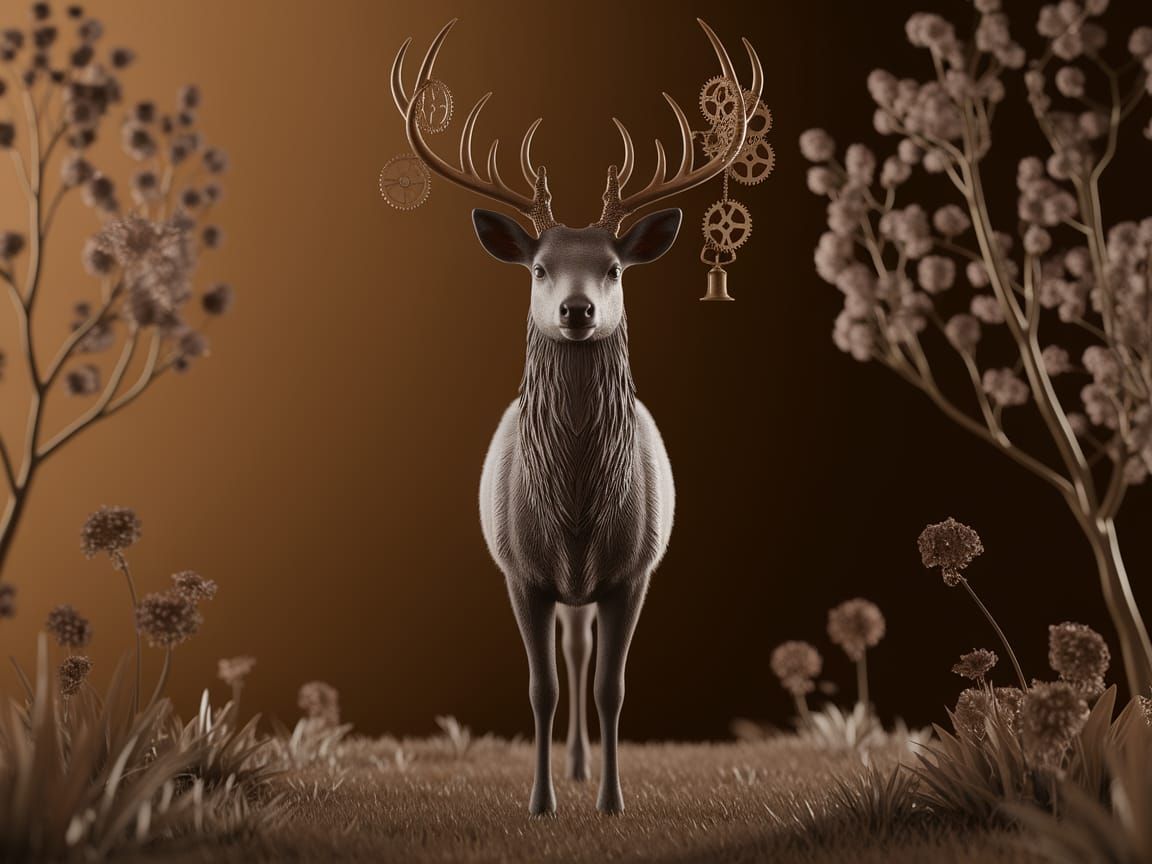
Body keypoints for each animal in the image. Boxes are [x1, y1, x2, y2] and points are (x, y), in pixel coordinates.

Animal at [390, 18, 762, 815]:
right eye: (539, 267)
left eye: (614, 268)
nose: (578, 310)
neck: (578, 519)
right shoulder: (518, 568)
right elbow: (542, 687)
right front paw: (540, 802)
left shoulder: (636, 568)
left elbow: (611, 687)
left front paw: (612, 801)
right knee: (570, 649)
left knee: (584, 648)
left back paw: (587, 769)